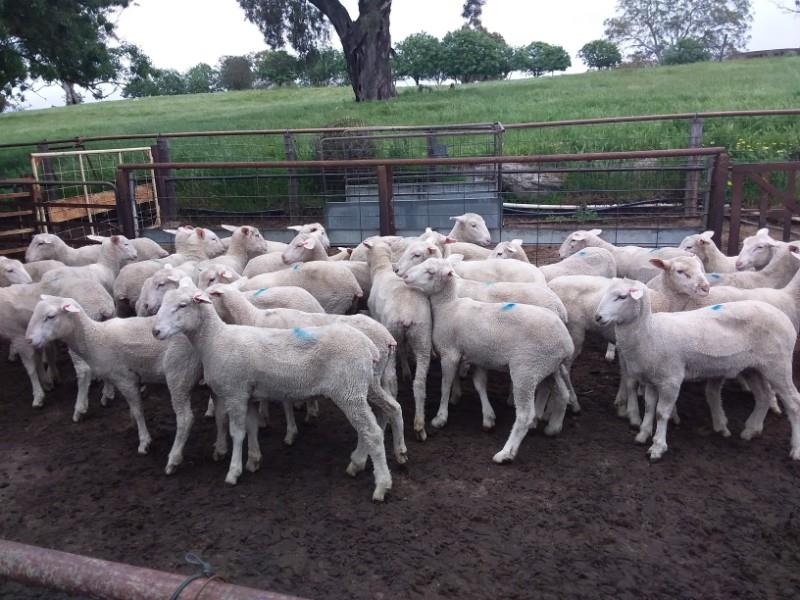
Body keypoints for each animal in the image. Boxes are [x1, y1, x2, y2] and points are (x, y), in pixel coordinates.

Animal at [26, 295, 202, 470]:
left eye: (50, 316)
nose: (28, 340)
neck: (93, 338)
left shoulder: (124, 379)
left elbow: (139, 411)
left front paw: (144, 441)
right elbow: (133, 410)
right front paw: (133, 423)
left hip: (178, 372)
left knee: (185, 419)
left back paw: (173, 459)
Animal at [153, 278, 394, 501]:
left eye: (183, 305)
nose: (155, 331)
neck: (215, 339)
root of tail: (371, 345)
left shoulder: (235, 393)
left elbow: (237, 433)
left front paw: (233, 472)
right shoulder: (248, 394)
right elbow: (251, 427)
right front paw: (253, 460)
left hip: (350, 391)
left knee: (372, 432)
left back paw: (381, 484)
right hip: (365, 386)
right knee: (386, 413)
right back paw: (363, 462)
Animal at [362, 239, 433, 441]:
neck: (381, 269)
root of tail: (407, 313)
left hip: (392, 333)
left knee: (391, 379)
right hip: (422, 337)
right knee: (420, 382)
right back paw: (419, 426)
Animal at [402, 257, 573, 461]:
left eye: (430, 272)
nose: (404, 276)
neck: (447, 307)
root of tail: (566, 341)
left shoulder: (450, 353)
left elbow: (446, 385)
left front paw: (440, 417)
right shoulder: (480, 356)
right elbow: (479, 384)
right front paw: (488, 417)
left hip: (527, 369)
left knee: (525, 415)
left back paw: (506, 453)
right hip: (551, 366)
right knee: (562, 394)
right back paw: (553, 428)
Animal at [594, 279, 800, 461]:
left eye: (621, 297)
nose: (598, 317)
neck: (650, 332)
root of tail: (782, 316)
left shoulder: (671, 379)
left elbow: (661, 413)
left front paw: (657, 447)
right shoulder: (652, 378)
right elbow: (650, 407)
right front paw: (643, 435)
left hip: (778, 365)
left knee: (794, 402)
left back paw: (795, 450)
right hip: (753, 368)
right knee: (764, 396)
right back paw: (751, 430)